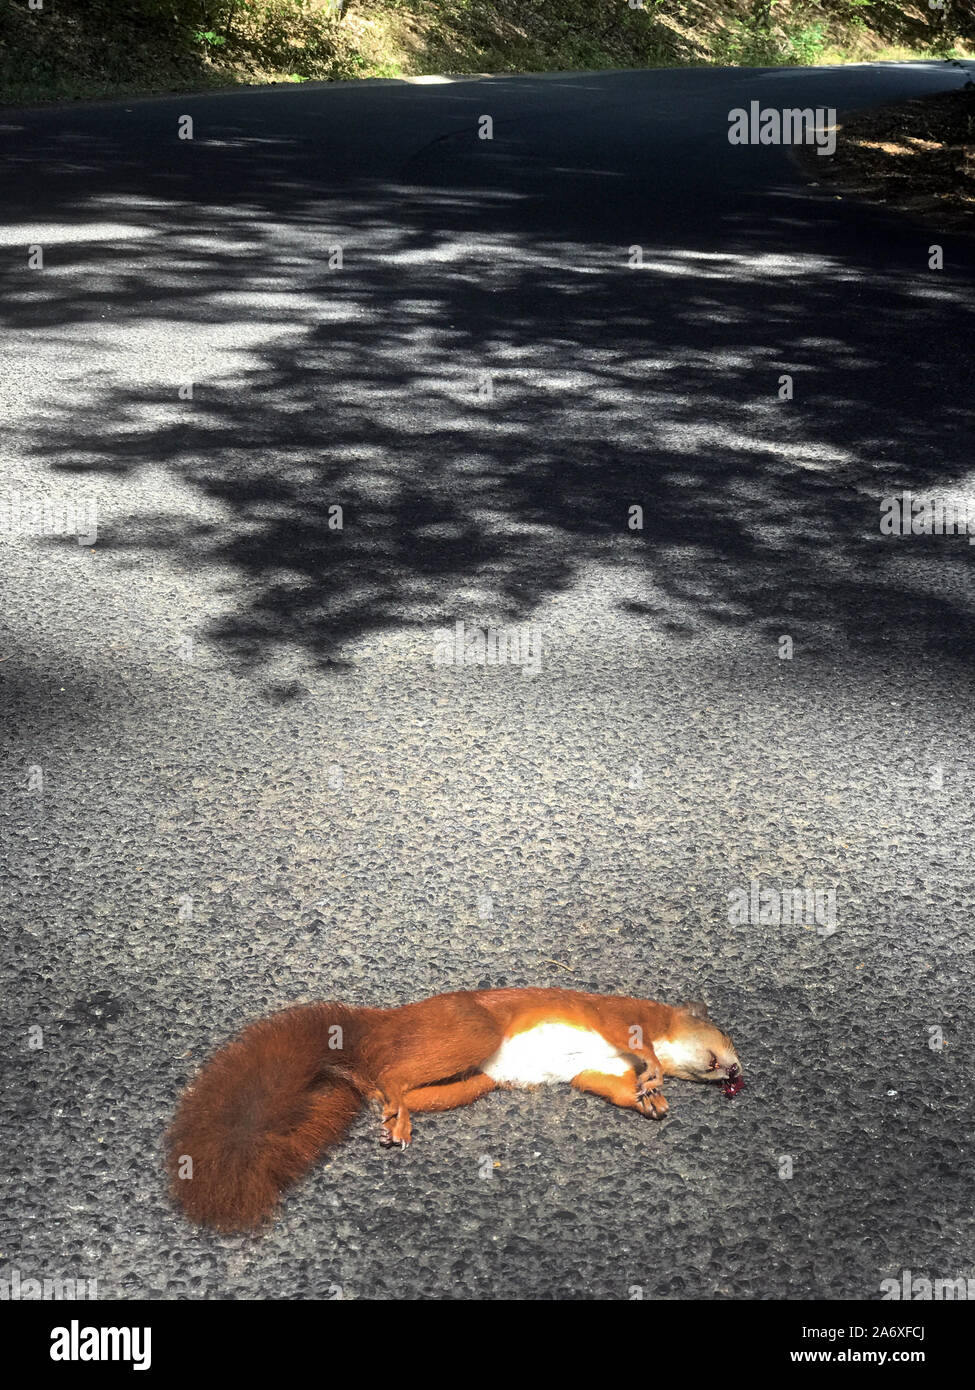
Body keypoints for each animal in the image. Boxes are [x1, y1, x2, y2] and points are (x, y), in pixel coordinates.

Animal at [166, 987, 743, 1231]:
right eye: (723, 1037)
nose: (737, 1074)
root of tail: (384, 1027)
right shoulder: (619, 1015)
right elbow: (635, 1040)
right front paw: (656, 1075)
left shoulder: (592, 1071)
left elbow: (610, 1084)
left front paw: (652, 1100)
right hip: (471, 1032)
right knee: (395, 1074)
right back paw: (396, 1113)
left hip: (473, 1081)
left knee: (391, 1084)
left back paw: (393, 1115)